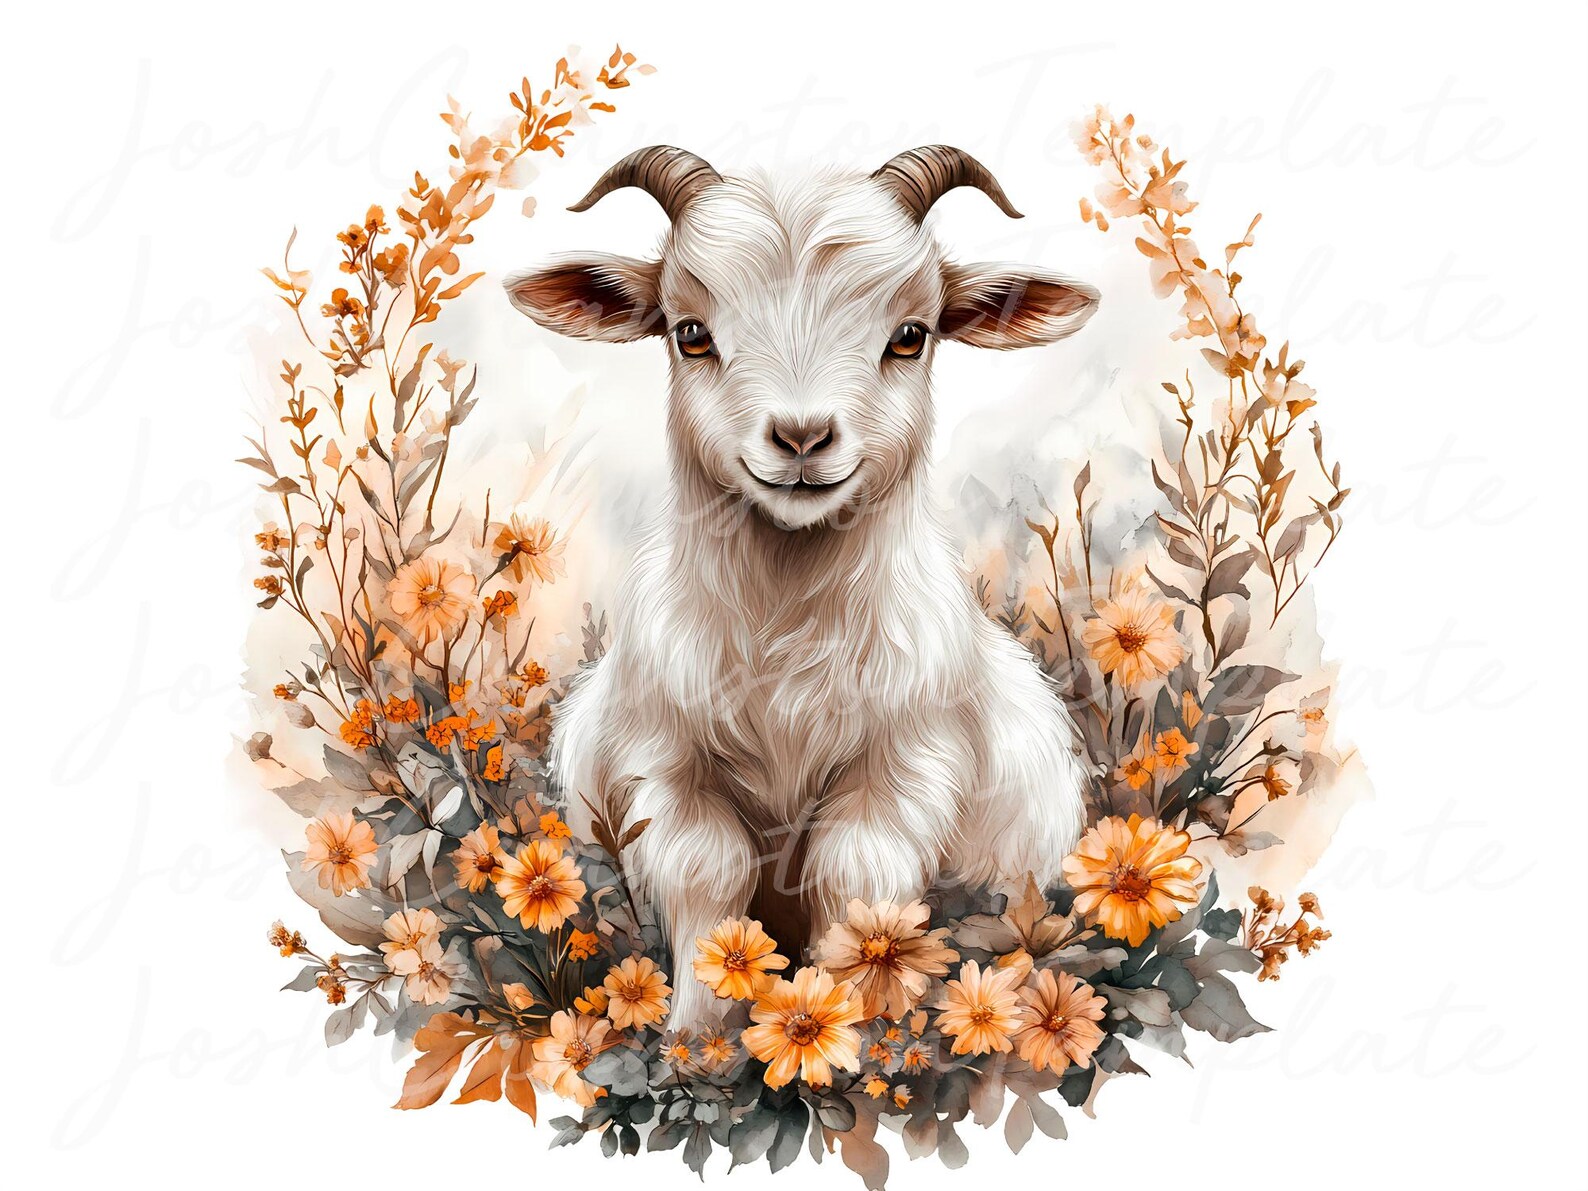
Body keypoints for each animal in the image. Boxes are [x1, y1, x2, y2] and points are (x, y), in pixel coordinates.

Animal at [506, 145, 1098, 1025]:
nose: (802, 437)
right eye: (690, 333)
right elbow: (709, 874)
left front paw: (847, 1020)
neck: (783, 630)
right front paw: (698, 1034)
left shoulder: (902, 765)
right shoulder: (666, 765)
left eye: (911, 336)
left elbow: (856, 881)